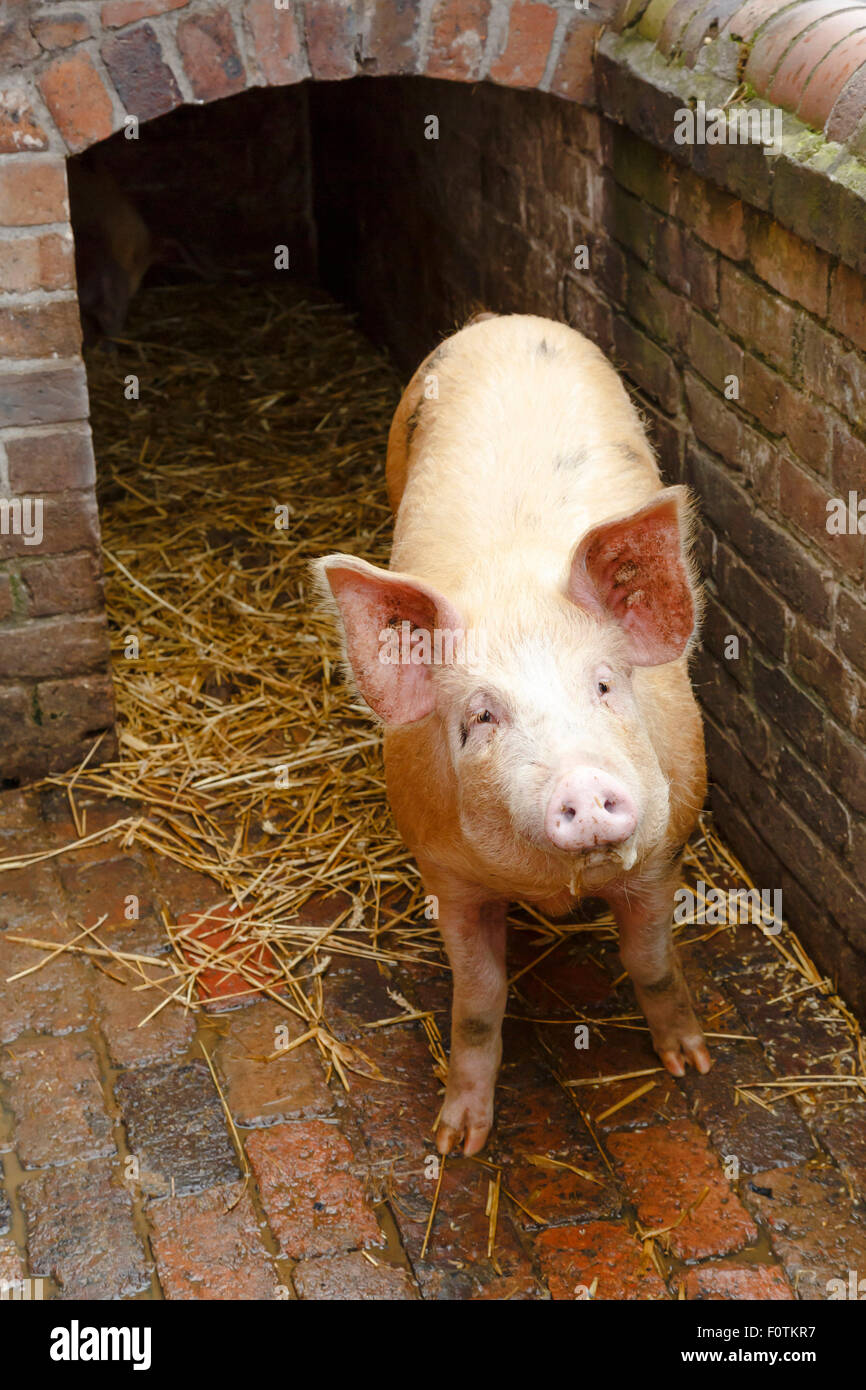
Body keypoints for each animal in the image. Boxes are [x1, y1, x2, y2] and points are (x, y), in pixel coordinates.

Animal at [315, 312, 711, 1158]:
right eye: (480, 718)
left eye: (605, 685)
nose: (583, 786)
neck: (557, 886)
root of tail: (502, 321)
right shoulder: (443, 869)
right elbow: (478, 997)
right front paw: (454, 1142)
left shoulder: (665, 848)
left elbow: (651, 961)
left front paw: (691, 1065)